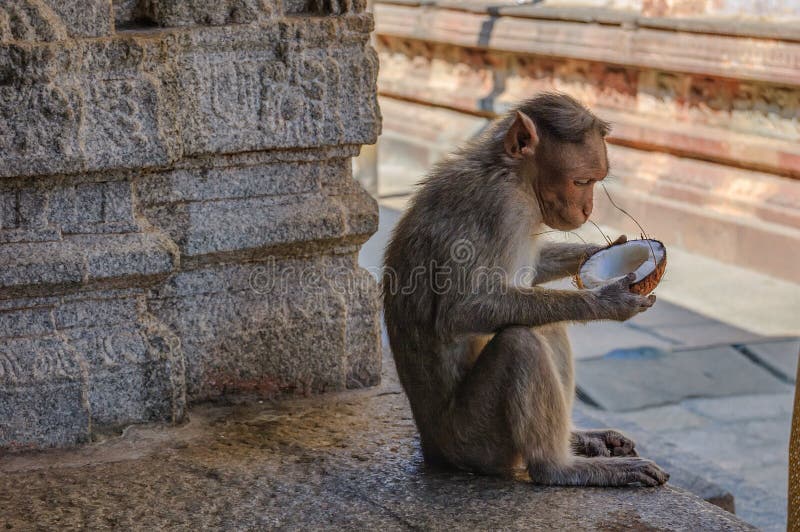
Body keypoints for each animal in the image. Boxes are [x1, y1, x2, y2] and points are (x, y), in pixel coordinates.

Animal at [382, 93, 669, 487]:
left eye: (595, 181)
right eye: (582, 181)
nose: (588, 209)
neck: (511, 174)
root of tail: (432, 447)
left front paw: (601, 251)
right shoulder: (503, 208)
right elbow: (461, 311)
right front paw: (606, 302)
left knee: (546, 324)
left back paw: (577, 438)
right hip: (474, 440)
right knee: (520, 342)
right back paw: (560, 467)